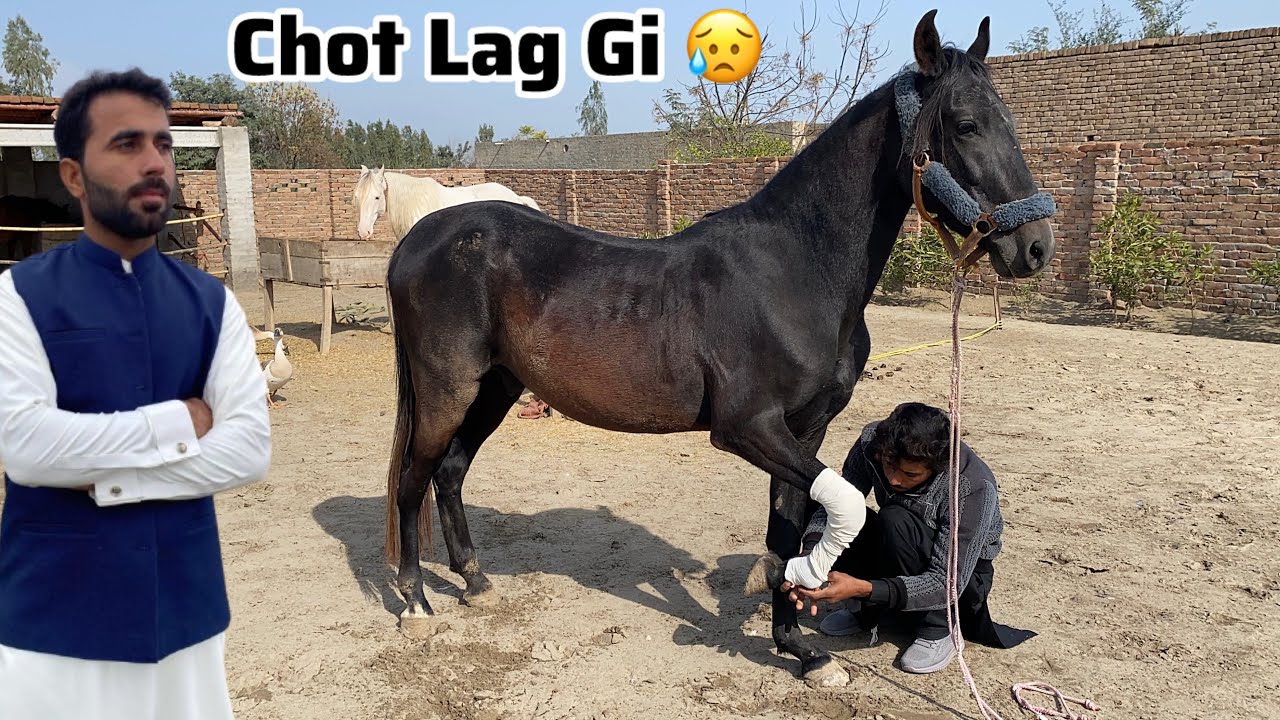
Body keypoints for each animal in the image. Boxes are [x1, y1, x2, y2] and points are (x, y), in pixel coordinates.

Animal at [382, 10, 1056, 688]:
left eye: (1009, 120)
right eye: (965, 124)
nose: (1035, 247)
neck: (793, 271)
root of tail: (418, 238)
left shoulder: (803, 431)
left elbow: (789, 525)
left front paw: (802, 649)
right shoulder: (746, 427)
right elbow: (841, 505)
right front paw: (803, 595)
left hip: (496, 387)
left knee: (449, 471)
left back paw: (475, 583)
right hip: (447, 390)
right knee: (413, 478)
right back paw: (415, 603)